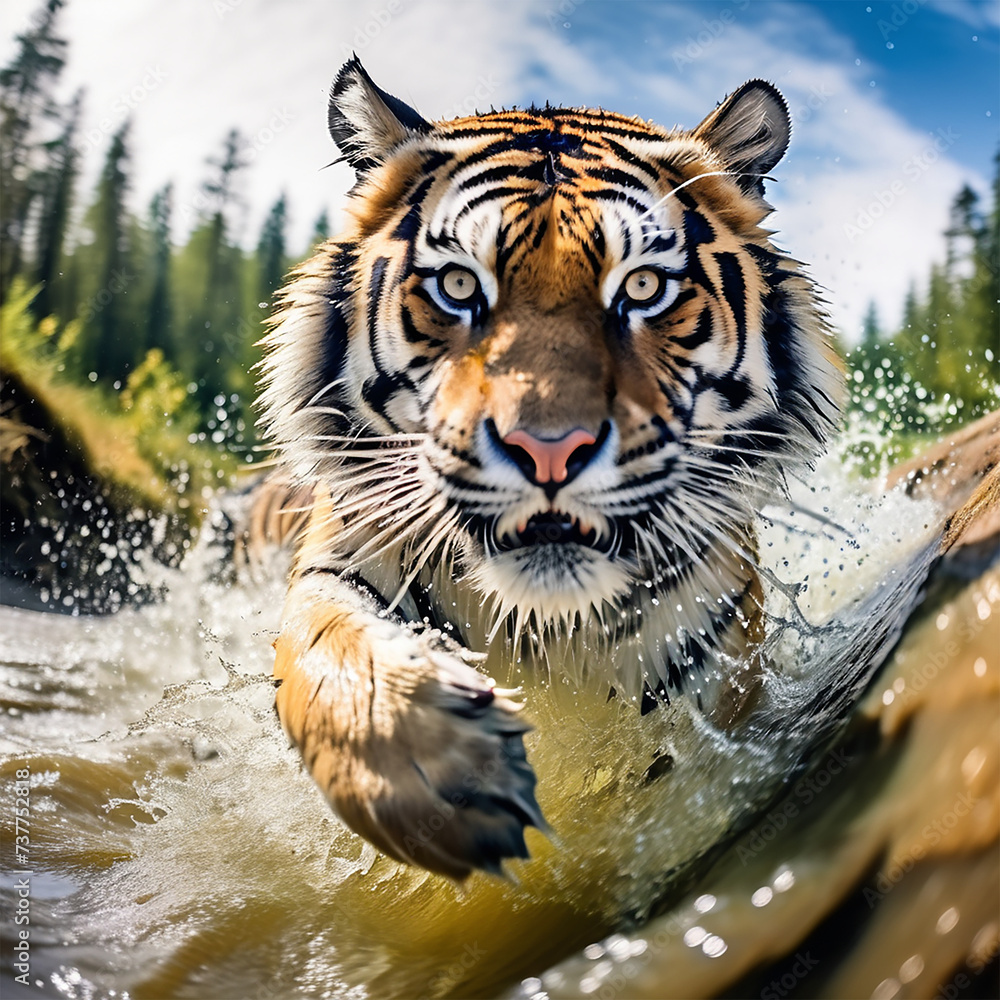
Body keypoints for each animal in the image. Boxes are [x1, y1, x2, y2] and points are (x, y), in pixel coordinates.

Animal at [254, 57, 843, 881]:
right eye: (459, 286)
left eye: (642, 287)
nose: (551, 450)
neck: (547, 628)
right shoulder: (338, 563)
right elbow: (326, 656)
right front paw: (445, 780)